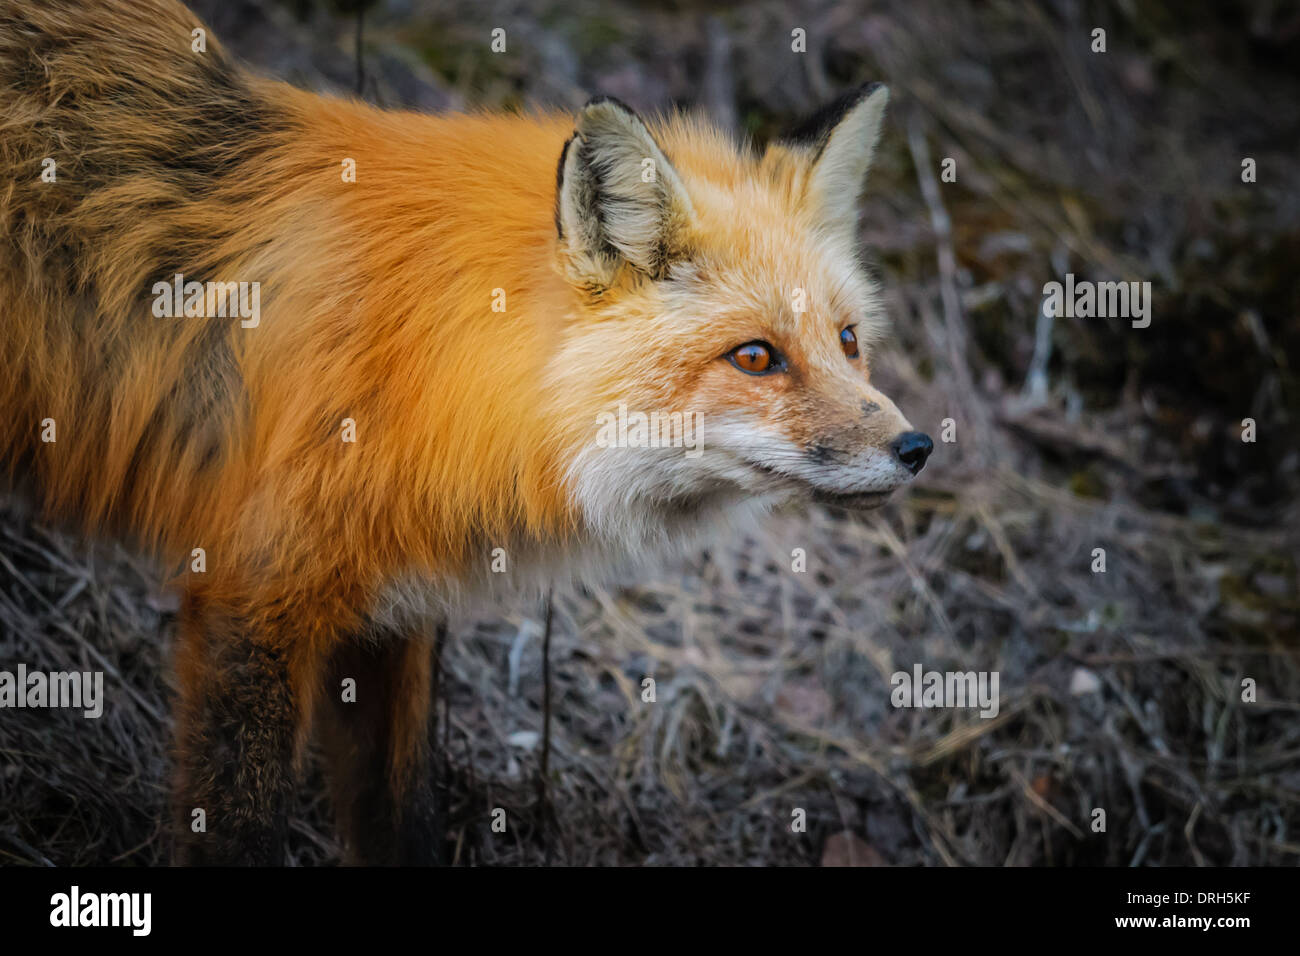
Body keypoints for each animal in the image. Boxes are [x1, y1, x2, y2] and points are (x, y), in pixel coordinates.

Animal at [0, 0, 933, 864]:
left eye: (848, 341)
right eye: (756, 357)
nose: (918, 449)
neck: (419, 356)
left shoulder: (387, 612)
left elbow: (398, 813)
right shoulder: (252, 593)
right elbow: (235, 824)